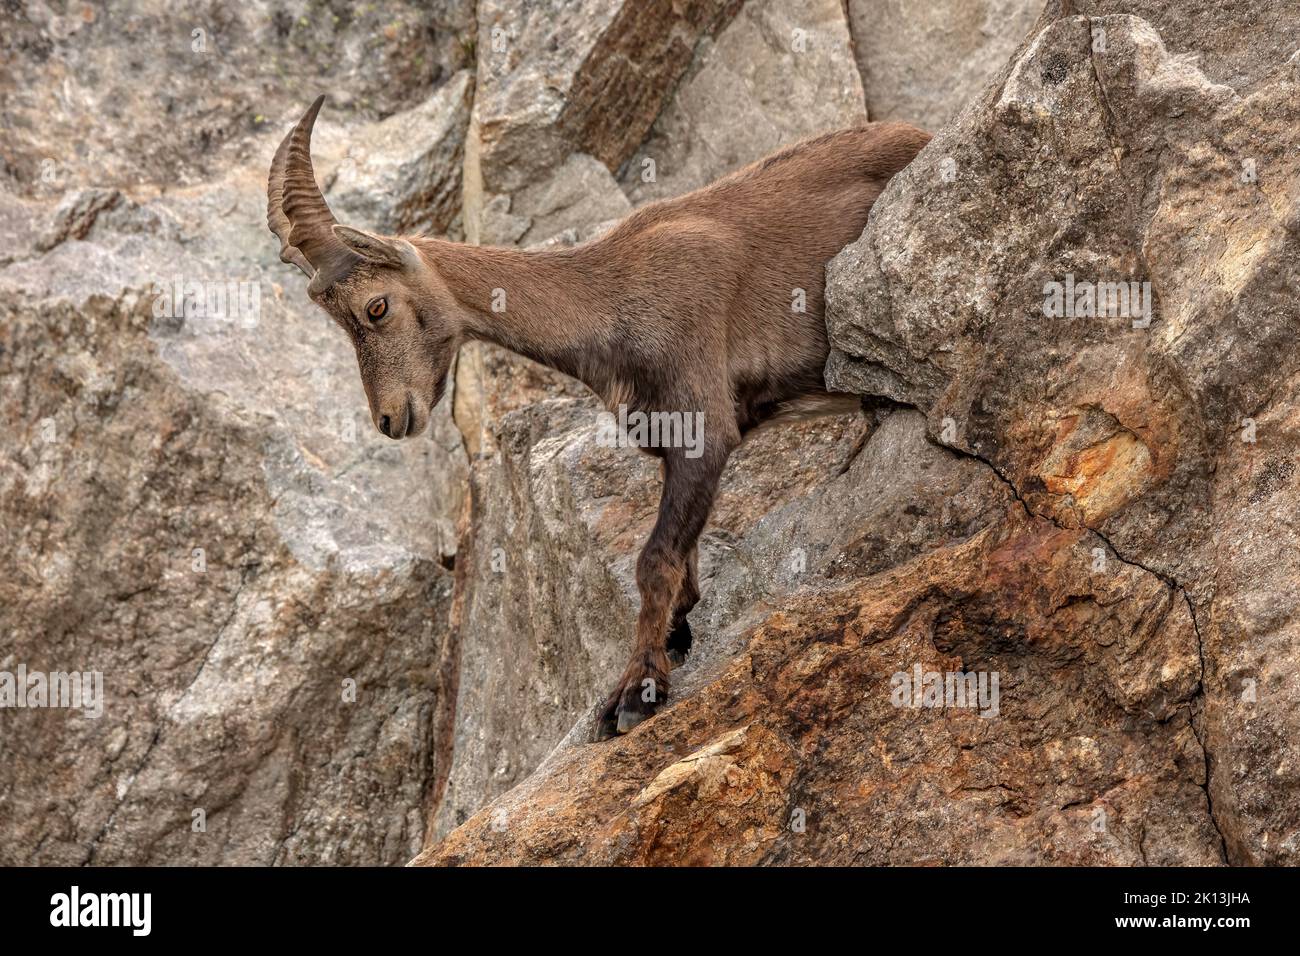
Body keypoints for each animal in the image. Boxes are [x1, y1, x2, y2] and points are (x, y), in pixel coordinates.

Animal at [267, 96, 930, 738]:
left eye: (376, 307)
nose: (388, 418)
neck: (610, 296)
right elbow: (684, 564)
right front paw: (676, 639)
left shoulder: (703, 427)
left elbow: (654, 561)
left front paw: (635, 695)